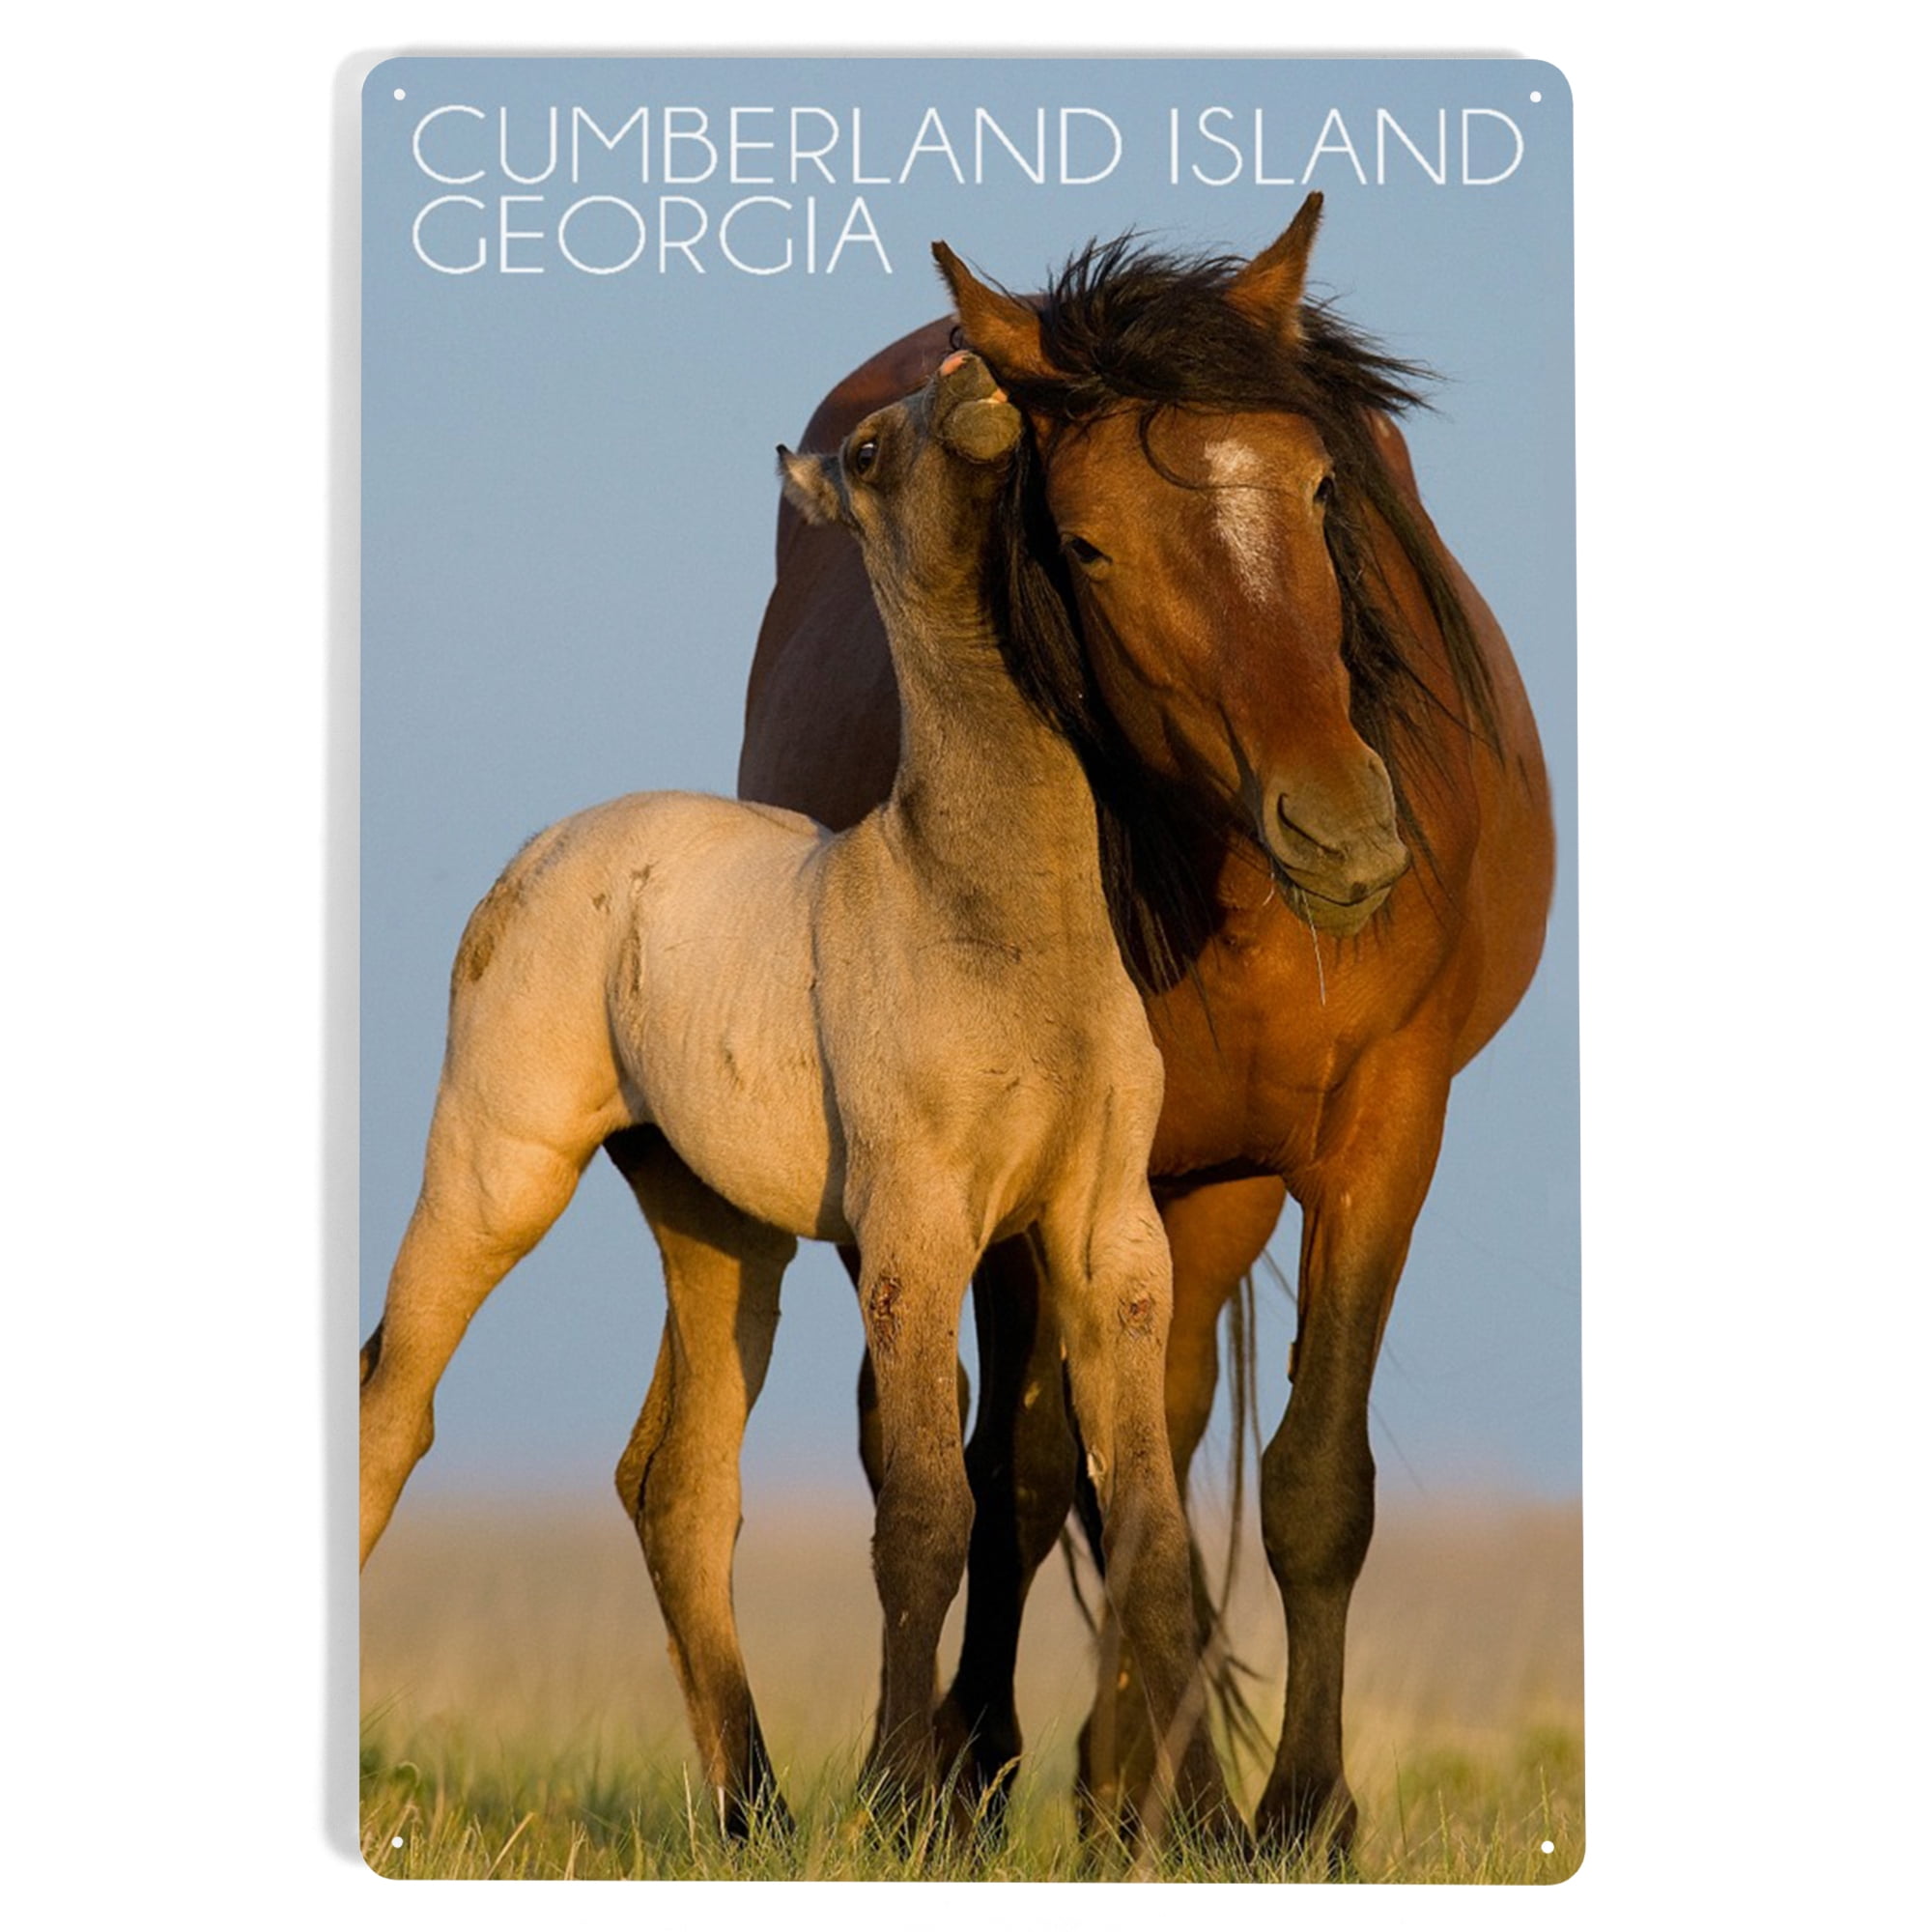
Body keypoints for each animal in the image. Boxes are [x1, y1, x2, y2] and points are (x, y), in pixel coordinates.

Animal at [358, 351, 1231, 1841]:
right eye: (872, 450)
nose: (973, 379)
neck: (1000, 919)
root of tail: (540, 852)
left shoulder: (1106, 1234)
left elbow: (1151, 1526)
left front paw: (1198, 1836)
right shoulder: (918, 1229)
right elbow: (928, 1509)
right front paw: (897, 1806)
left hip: (719, 1229)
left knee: (677, 1482)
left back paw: (751, 1807)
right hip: (495, 1167)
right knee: (395, 1400)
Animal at [739, 193, 1556, 1853]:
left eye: (1325, 489)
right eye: (1087, 546)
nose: (1343, 829)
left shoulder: (1380, 1132)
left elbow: (1307, 1482)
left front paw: (1296, 1816)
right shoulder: (1002, 1168)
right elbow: (1013, 1470)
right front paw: (986, 1784)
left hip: (1211, 1188)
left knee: (1151, 1450)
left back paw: (1137, 1794)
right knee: (1027, 1463)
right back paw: (995, 1774)